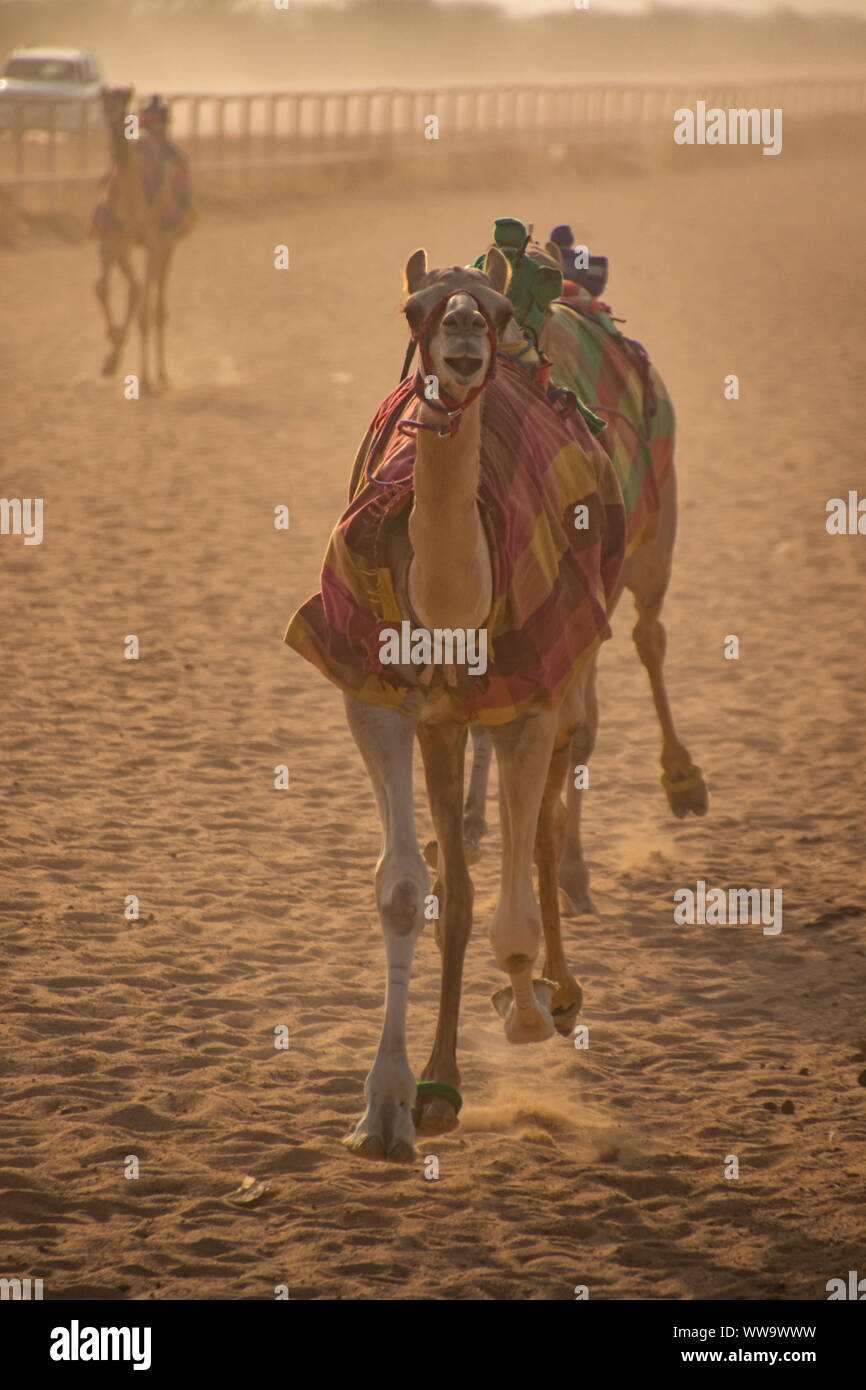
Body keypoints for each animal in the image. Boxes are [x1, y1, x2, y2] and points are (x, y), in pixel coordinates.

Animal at [91, 87, 194, 391]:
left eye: (123, 98)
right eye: (104, 98)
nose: (113, 114)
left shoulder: (153, 242)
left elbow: (144, 311)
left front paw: (145, 380)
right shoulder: (112, 240)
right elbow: (102, 288)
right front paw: (111, 355)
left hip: (169, 244)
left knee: (156, 306)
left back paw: (161, 376)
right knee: (136, 292)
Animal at [285, 248, 629, 1160]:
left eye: (499, 309)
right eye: (416, 307)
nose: (467, 334)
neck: (448, 609)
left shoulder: (529, 699)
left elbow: (518, 870)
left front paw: (526, 1012)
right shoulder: (375, 702)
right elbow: (408, 893)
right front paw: (388, 1108)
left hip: (570, 662)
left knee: (543, 822)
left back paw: (553, 993)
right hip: (446, 726)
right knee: (462, 884)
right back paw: (443, 1085)